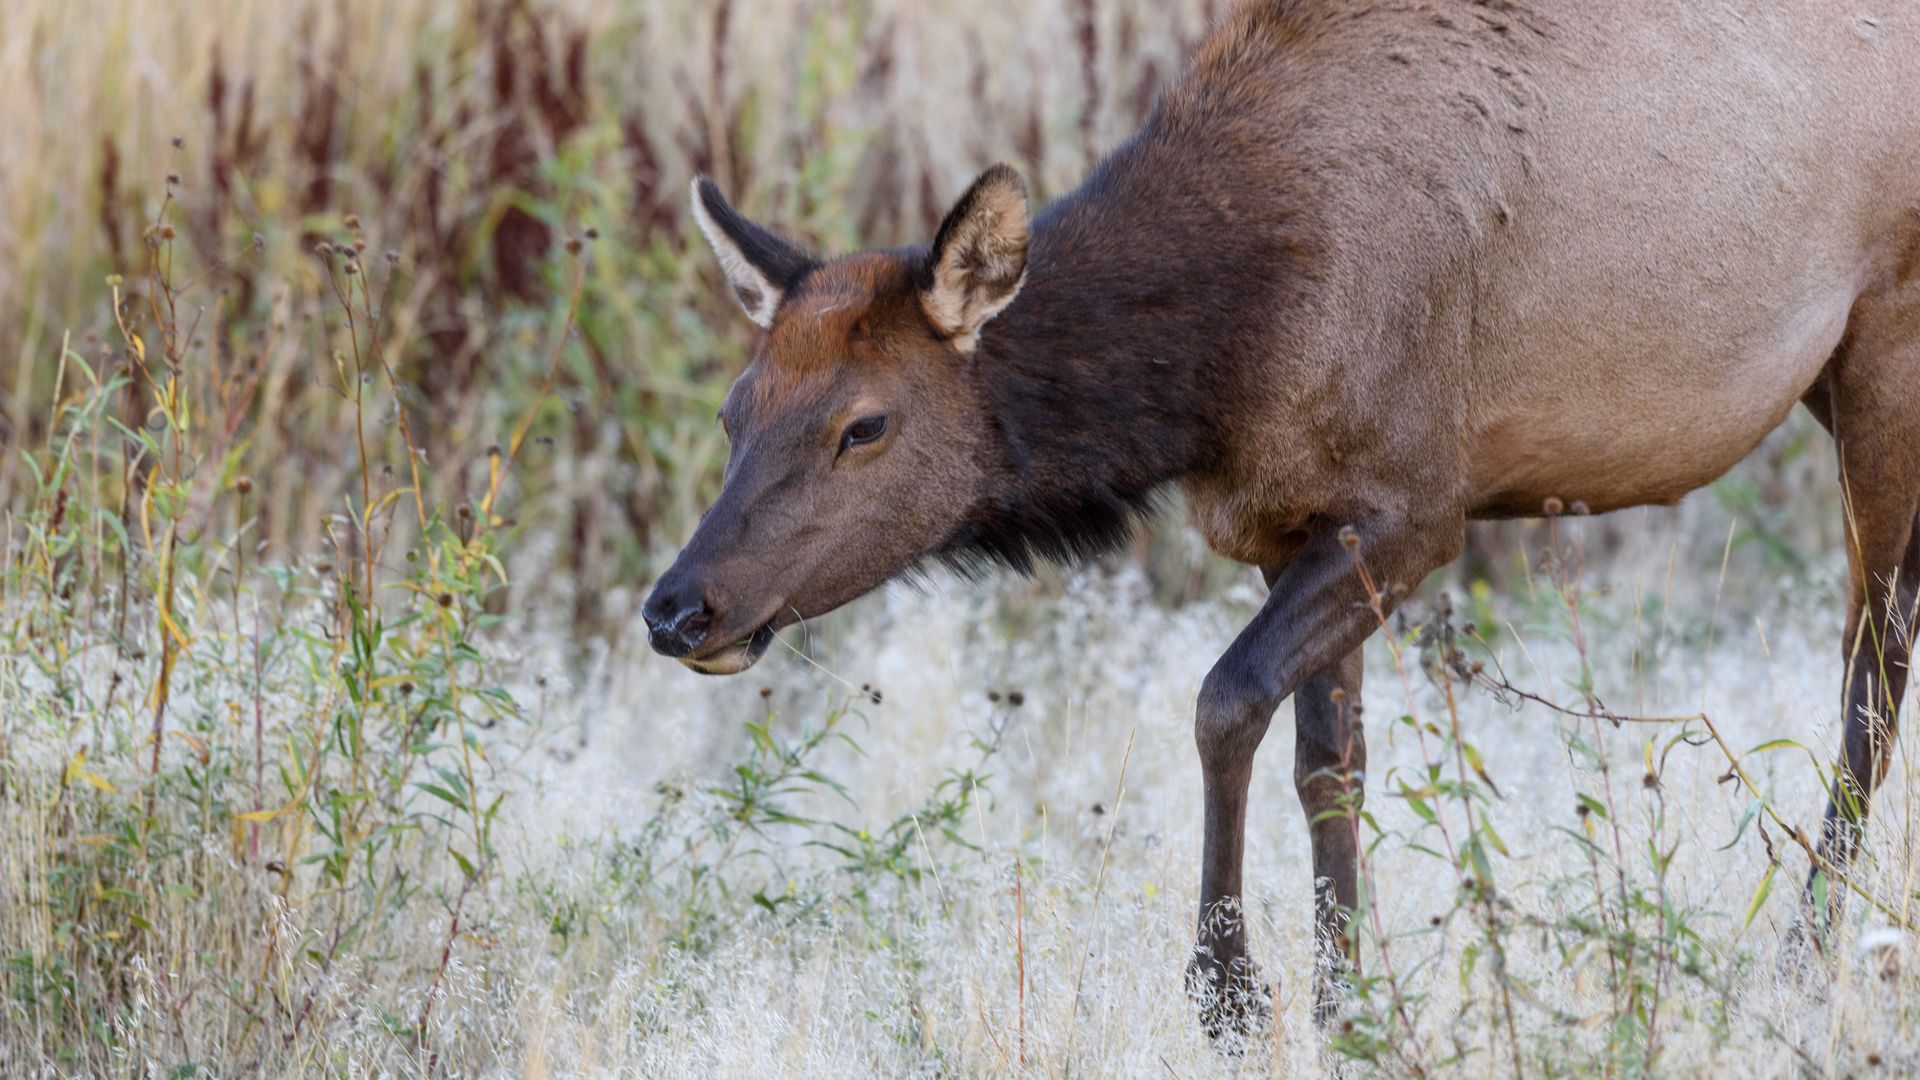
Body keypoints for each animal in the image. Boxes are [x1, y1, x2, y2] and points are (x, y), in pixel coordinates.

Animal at [642, 0, 1920, 1032]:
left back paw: (1805, 950)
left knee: (1876, 650)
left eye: (864, 426)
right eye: (732, 411)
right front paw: (1345, 1001)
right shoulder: (1296, 521)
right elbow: (1332, 763)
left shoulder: (1416, 511)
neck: (1218, 367)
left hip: (1887, 344)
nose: (677, 608)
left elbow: (1223, 703)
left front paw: (1230, 994)